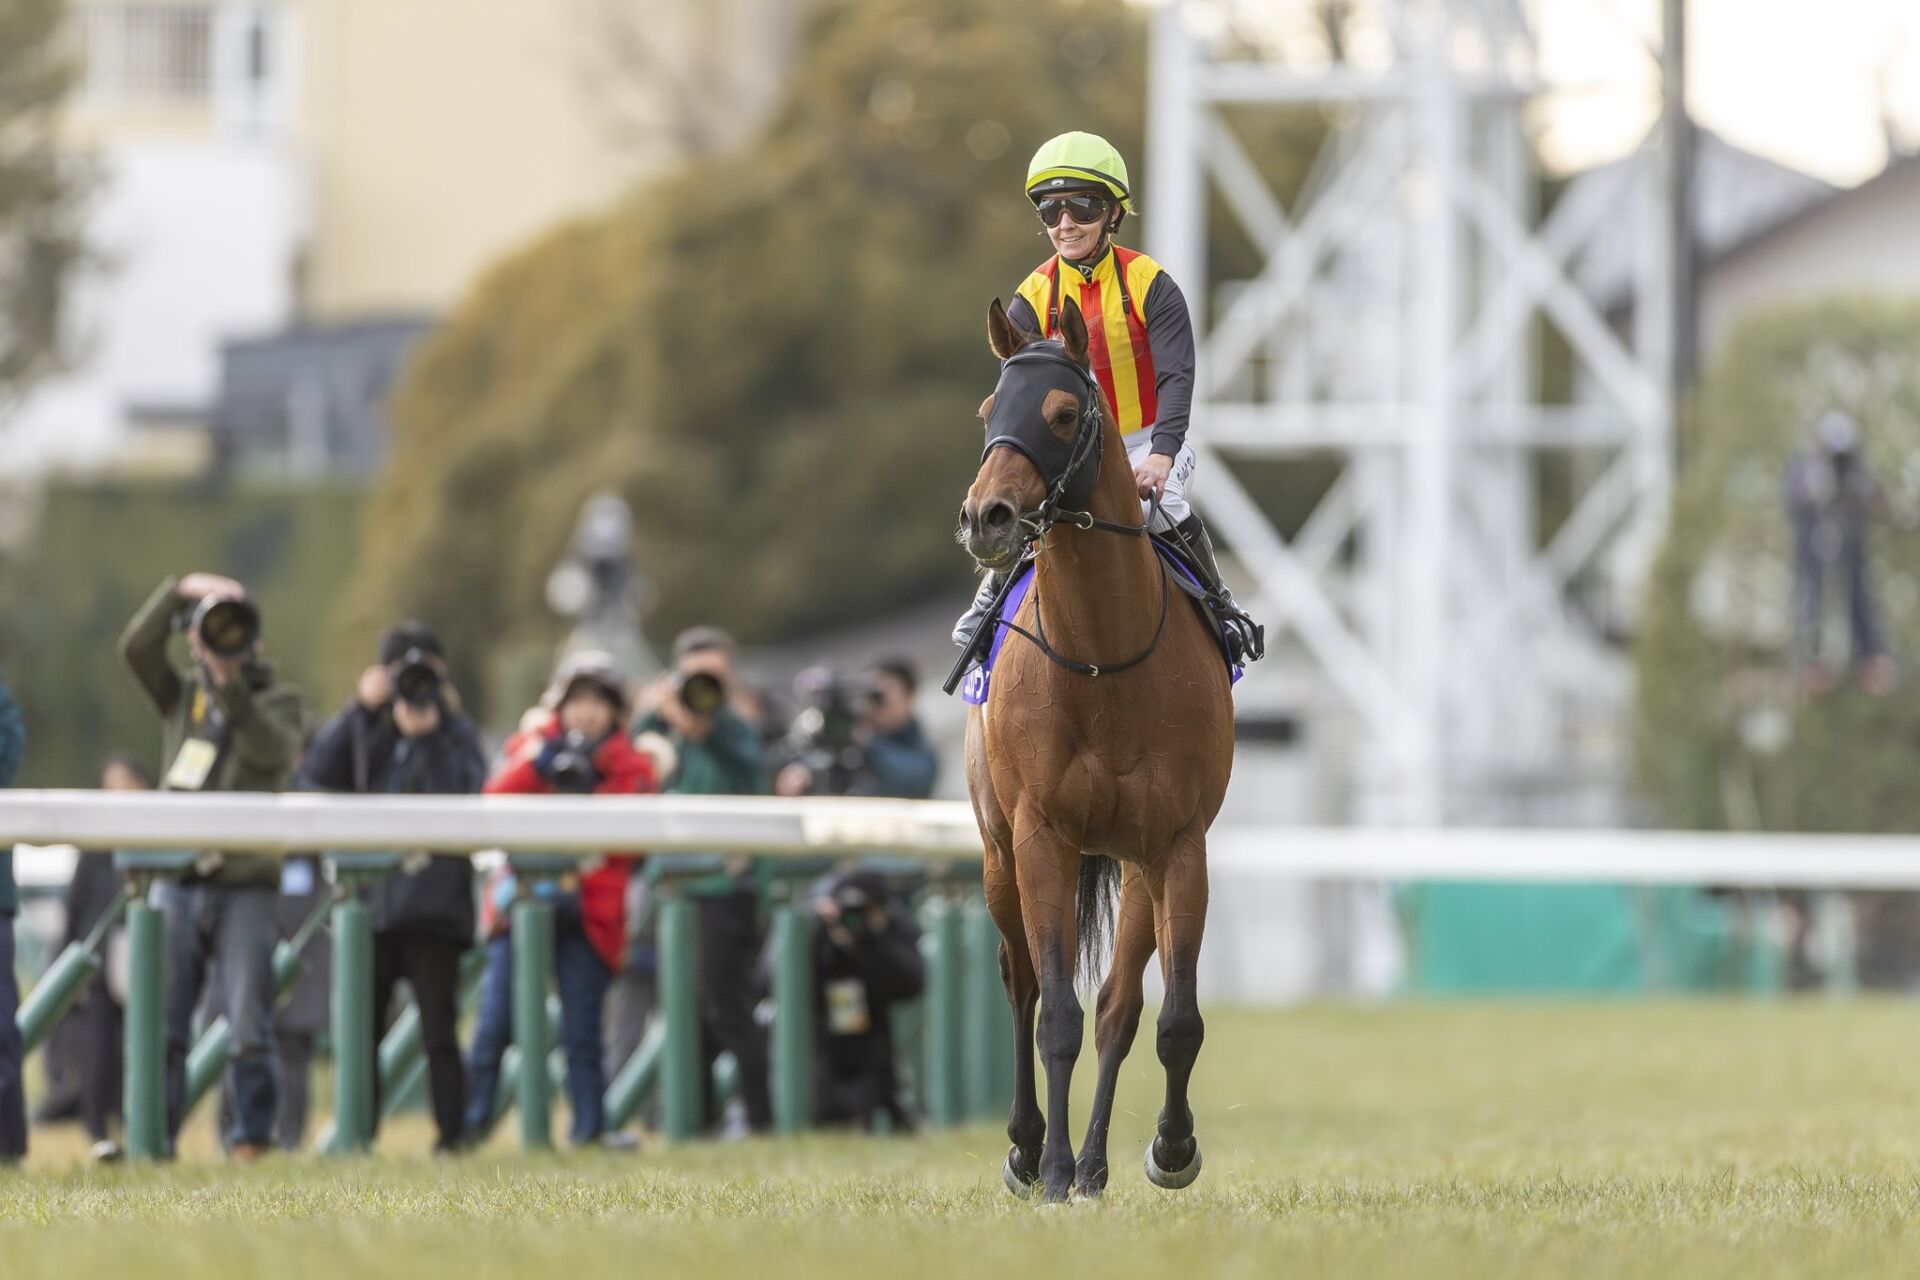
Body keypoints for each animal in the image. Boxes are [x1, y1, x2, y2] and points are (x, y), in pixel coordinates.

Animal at [958, 296, 1235, 1203]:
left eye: (1060, 413)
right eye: (989, 412)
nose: (987, 517)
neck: (1103, 659)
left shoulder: (1178, 844)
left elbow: (1170, 1019)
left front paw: (1171, 1149)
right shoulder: (1041, 836)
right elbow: (1054, 1014)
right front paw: (1043, 1170)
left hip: (1135, 867)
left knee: (1118, 1005)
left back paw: (1093, 1162)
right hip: (997, 856)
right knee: (1019, 984)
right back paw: (1028, 1147)